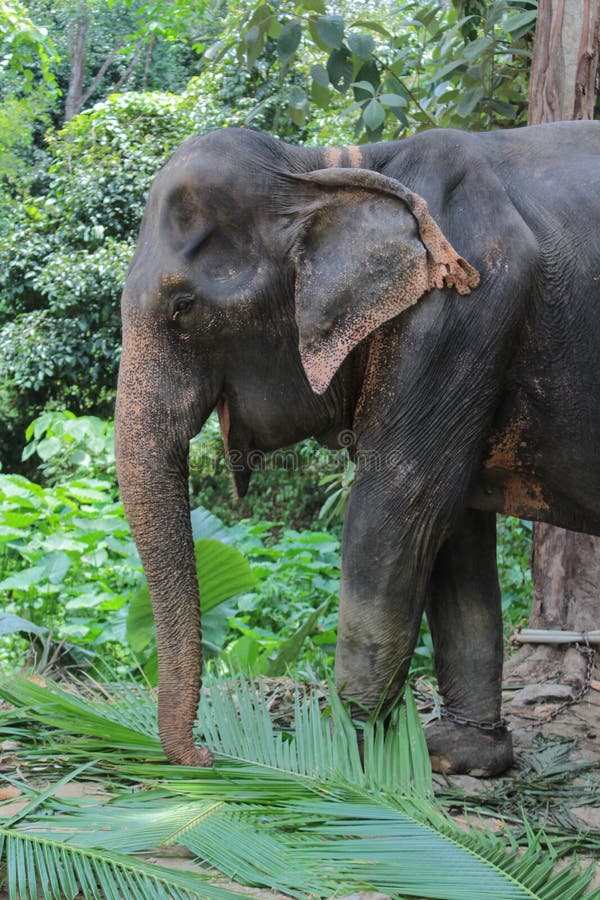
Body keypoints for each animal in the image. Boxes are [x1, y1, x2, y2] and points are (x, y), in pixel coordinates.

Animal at [115, 120, 600, 776]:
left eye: (183, 308)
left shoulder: (460, 308)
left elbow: (399, 506)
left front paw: (334, 762)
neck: (328, 168)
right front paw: (461, 756)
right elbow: (455, 528)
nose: (206, 756)